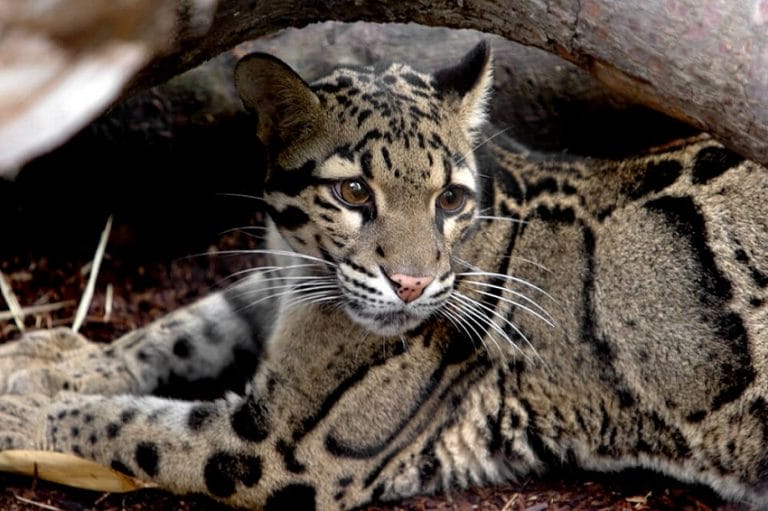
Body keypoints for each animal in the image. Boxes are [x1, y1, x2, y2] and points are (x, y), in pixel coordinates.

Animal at [1, 40, 767, 510]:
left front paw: (25, 412)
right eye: (353, 193)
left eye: (450, 199)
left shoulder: (282, 445)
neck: (305, 269)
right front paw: (49, 359)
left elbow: (127, 423)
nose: (412, 285)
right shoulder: (279, 284)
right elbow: (188, 325)